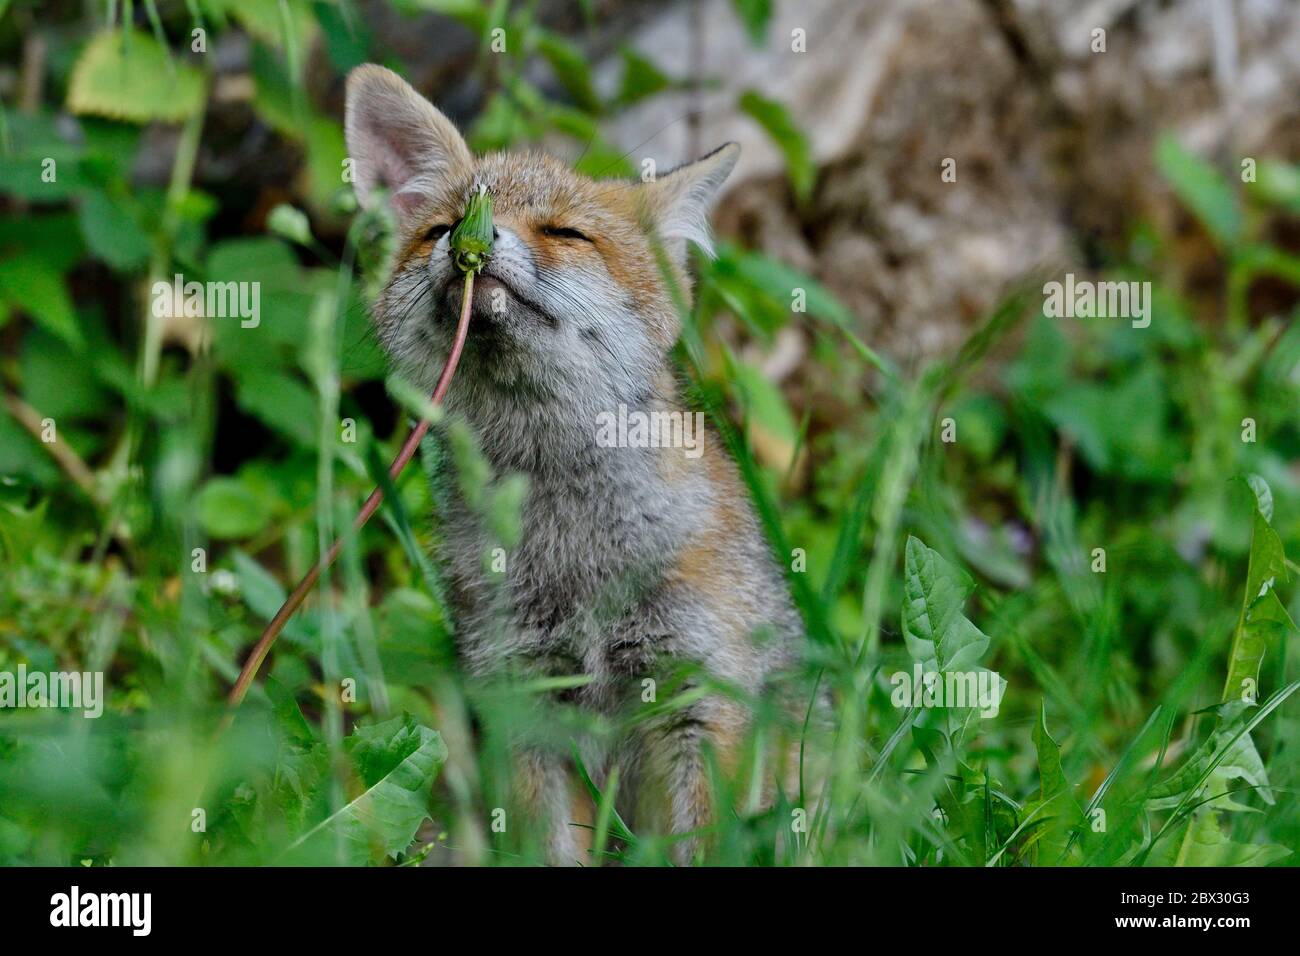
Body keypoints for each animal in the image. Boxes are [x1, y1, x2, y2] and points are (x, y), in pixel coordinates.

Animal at [344, 64, 807, 865]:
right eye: (437, 227)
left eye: (565, 232)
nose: (467, 238)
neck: (574, 553)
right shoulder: (524, 706)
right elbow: (550, 846)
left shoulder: (699, 697)